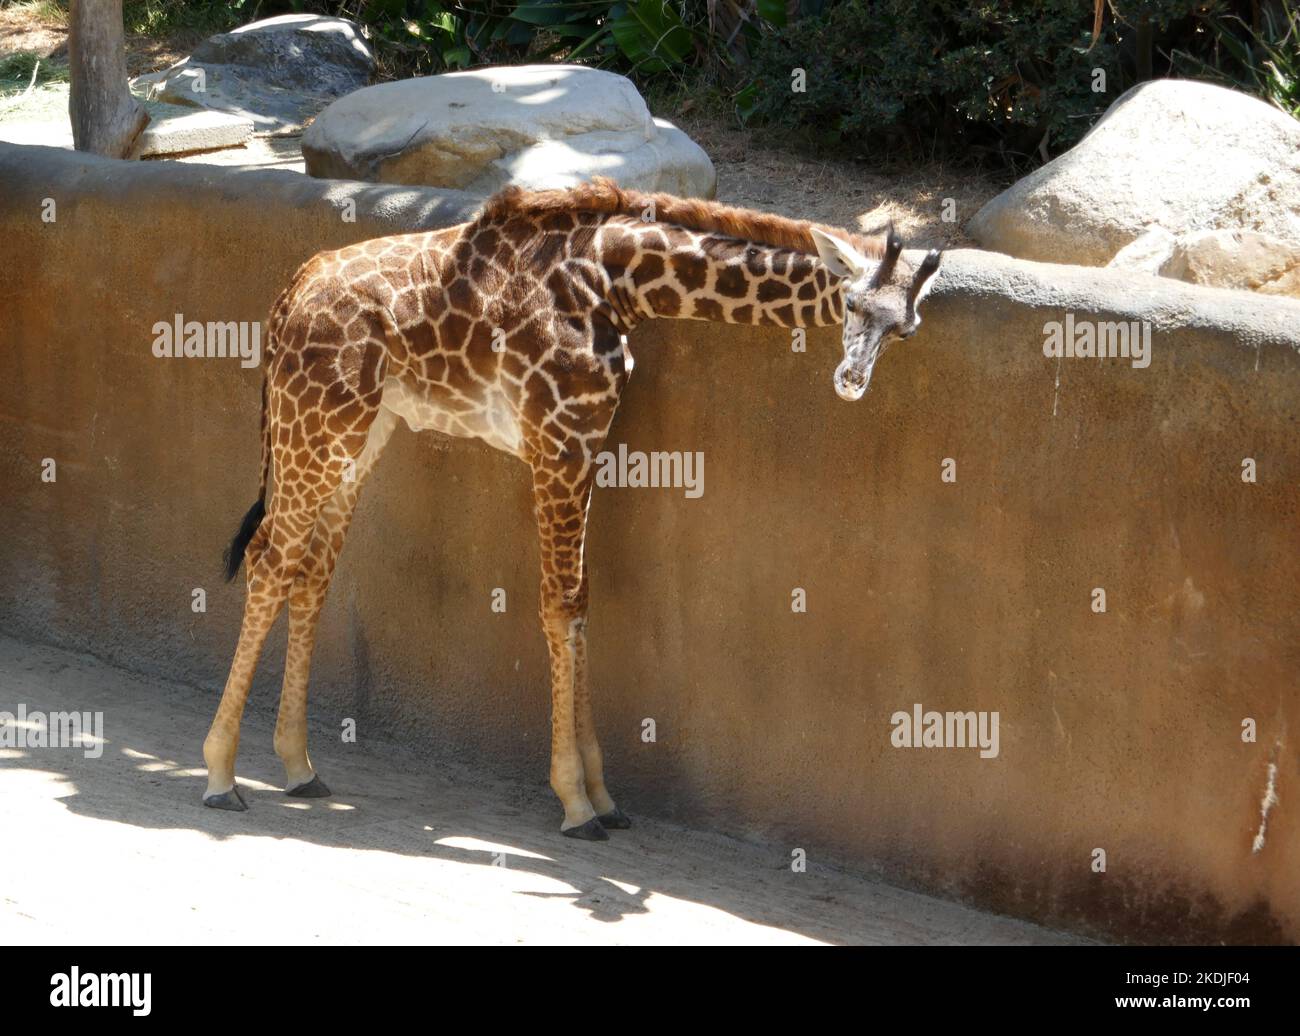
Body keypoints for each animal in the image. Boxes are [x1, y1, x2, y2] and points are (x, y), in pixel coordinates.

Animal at [203, 177, 942, 840]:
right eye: (850, 303)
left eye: (904, 329)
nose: (851, 381)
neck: (618, 283)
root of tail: (289, 294)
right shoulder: (558, 440)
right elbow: (559, 604)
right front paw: (575, 803)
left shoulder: (589, 440)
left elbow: (583, 601)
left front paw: (604, 796)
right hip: (318, 422)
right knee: (271, 560)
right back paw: (220, 775)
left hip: (361, 430)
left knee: (311, 570)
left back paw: (299, 767)